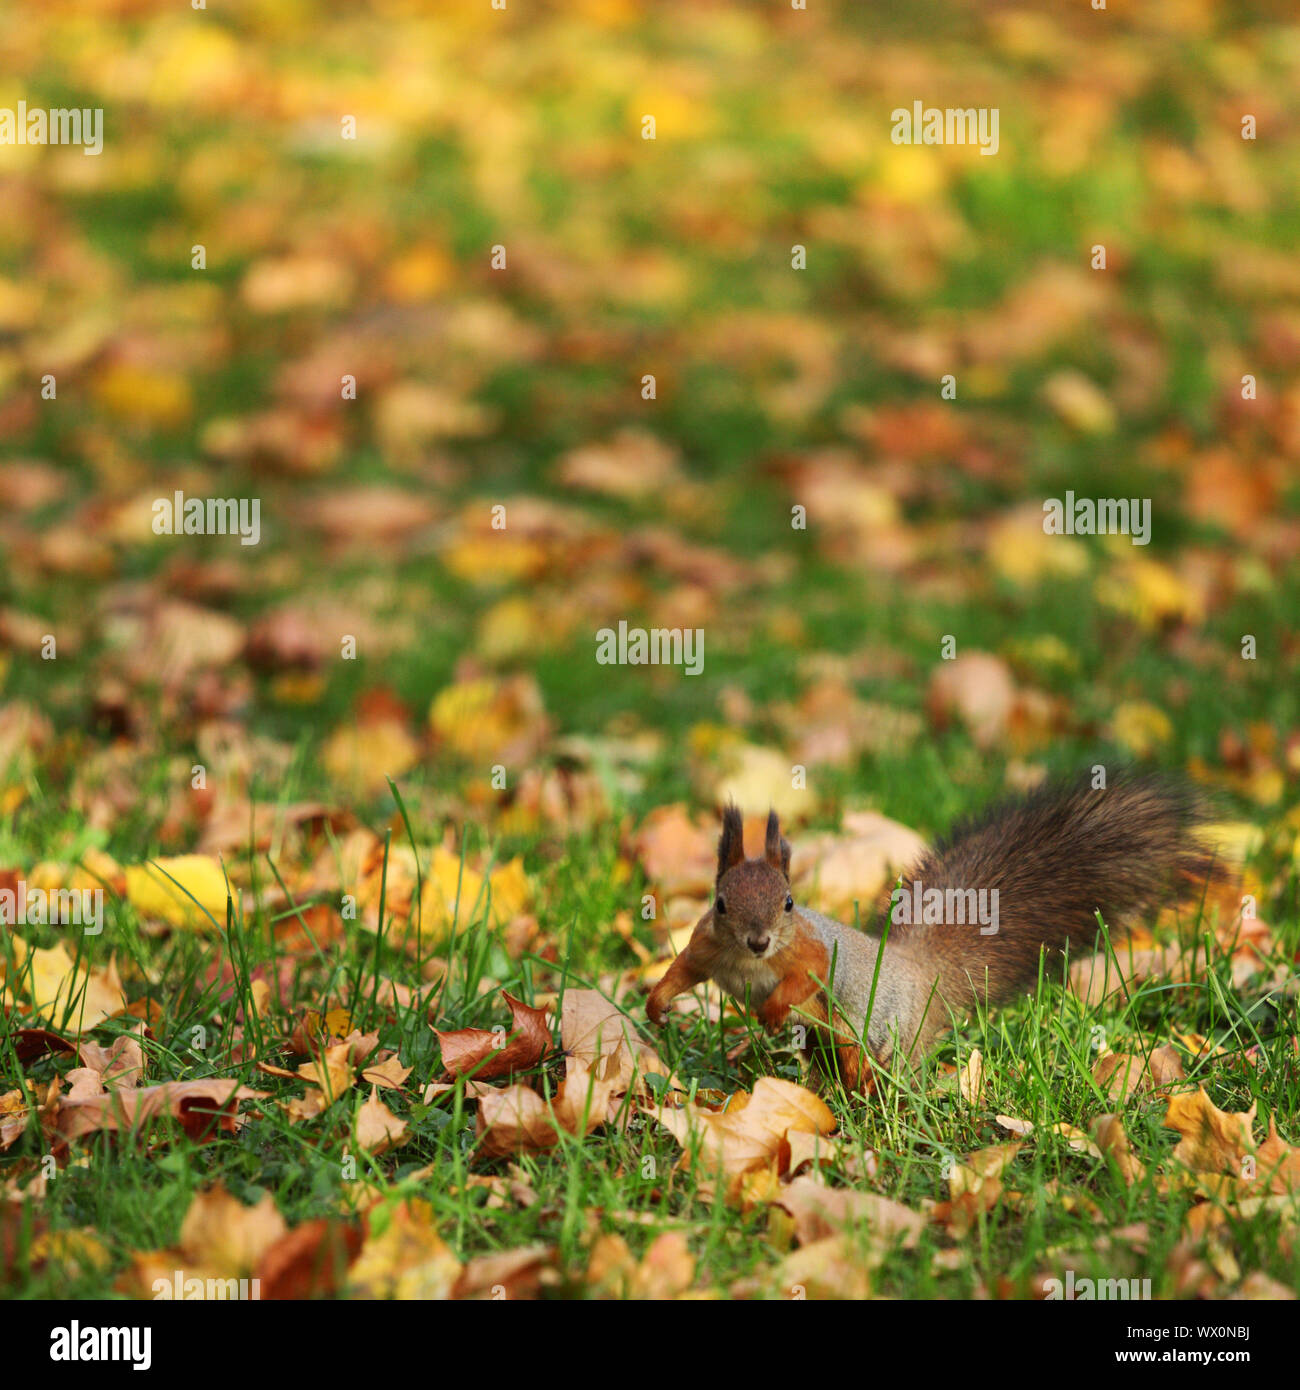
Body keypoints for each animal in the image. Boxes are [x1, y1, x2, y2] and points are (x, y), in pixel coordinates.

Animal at [645, 775, 1226, 1088]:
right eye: (721, 904)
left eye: (789, 903)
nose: (759, 940)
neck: (751, 963)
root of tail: (922, 973)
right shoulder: (707, 947)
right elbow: (684, 969)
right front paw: (656, 1005)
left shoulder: (807, 954)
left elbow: (808, 974)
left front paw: (770, 1010)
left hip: (884, 1032)